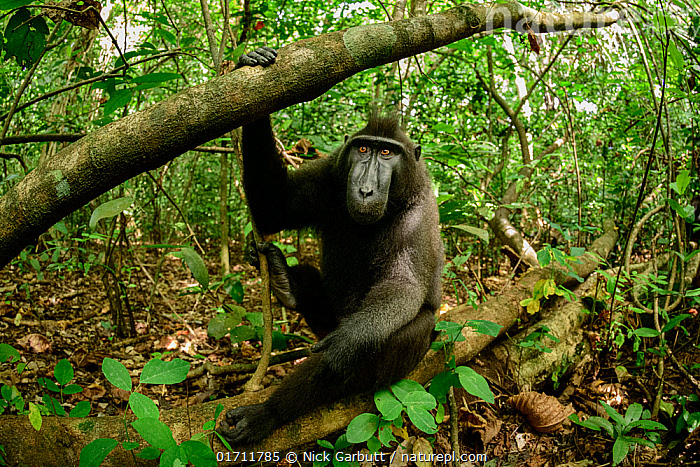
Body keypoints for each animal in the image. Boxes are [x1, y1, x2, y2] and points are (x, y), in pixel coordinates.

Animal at [217, 47, 443, 445]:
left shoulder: (418, 219)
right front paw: (256, 67)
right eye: (364, 148)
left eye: (388, 153)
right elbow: (276, 207)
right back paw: (286, 283)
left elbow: (402, 289)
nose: (365, 189)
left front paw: (348, 343)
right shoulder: (330, 175)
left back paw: (268, 412)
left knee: (403, 332)